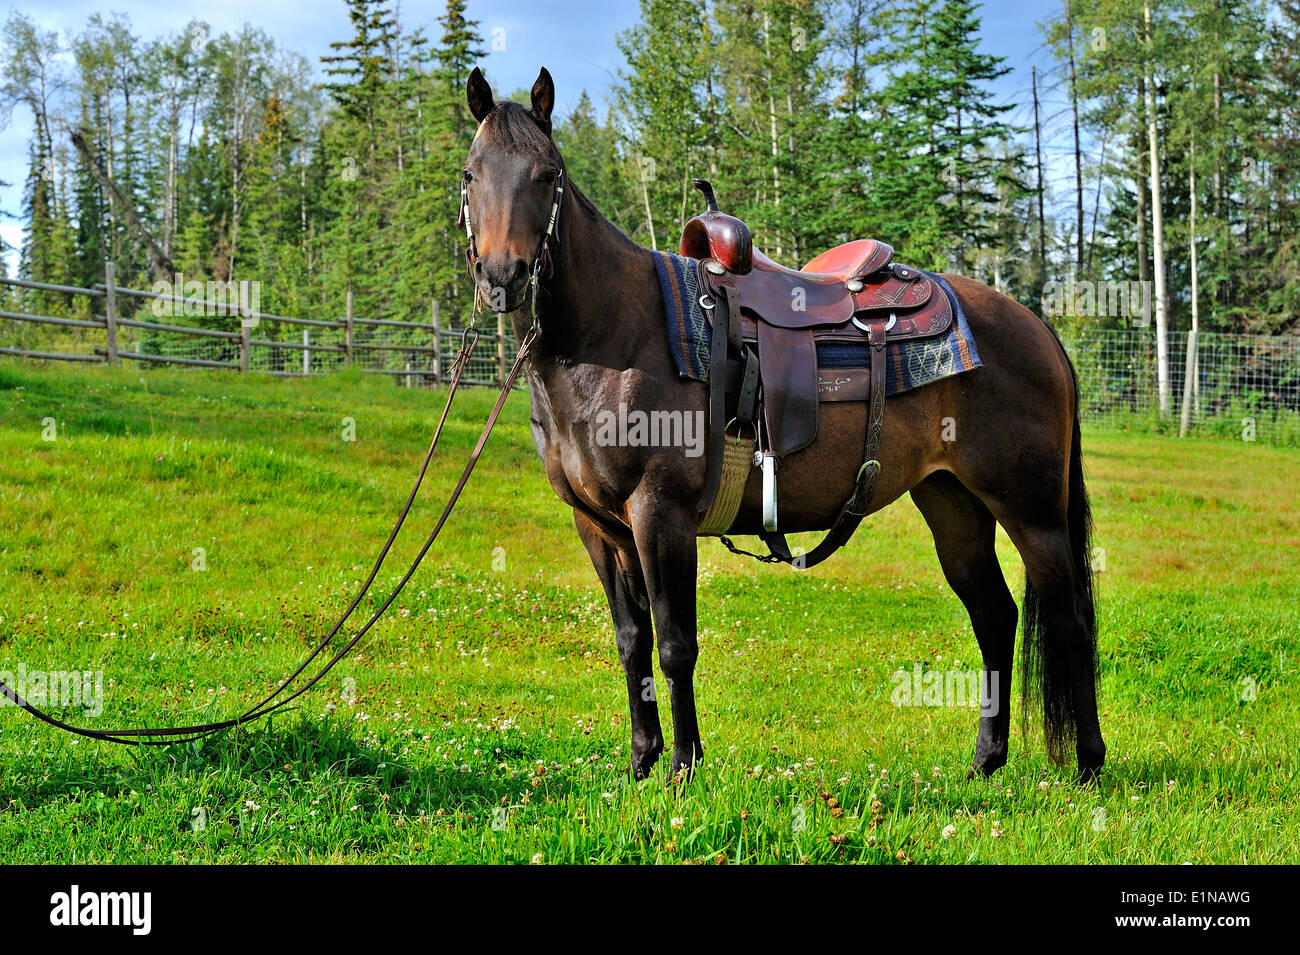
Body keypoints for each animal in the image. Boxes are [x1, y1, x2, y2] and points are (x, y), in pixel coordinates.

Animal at [459, 66, 1104, 783]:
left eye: (548, 174)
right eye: (470, 173)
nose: (503, 274)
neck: (612, 336)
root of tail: (1035, 327)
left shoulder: (661, 514)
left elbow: (675, 644)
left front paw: (683, 767)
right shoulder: (598, 526)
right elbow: (632, 642)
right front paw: (641, 762)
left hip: (1031, 510)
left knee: (1071, 617)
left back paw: (1087, 763)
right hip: (953, 502)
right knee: (994, 615)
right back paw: (985, 762)